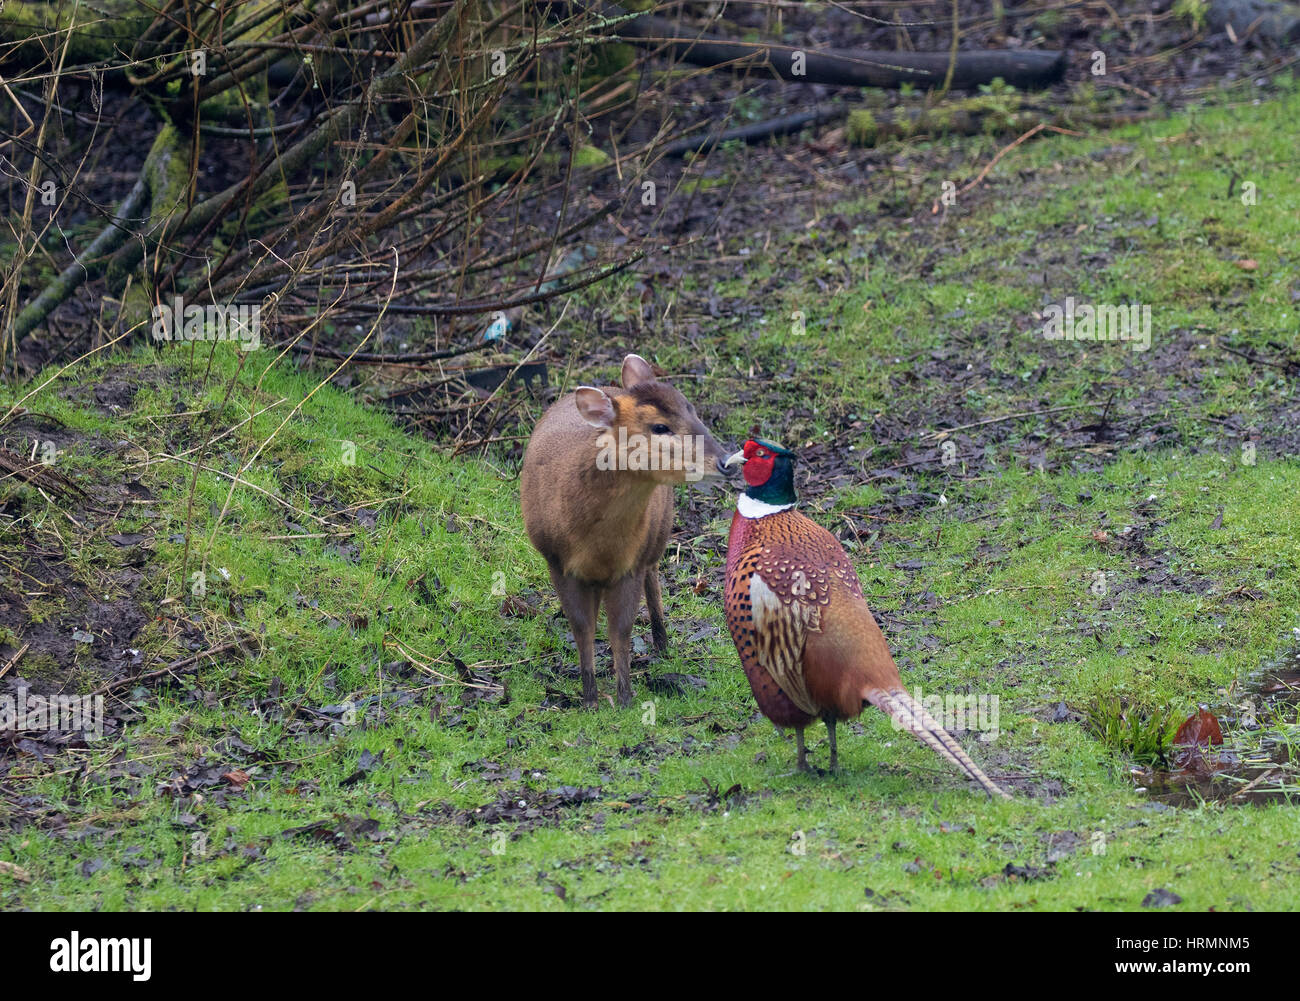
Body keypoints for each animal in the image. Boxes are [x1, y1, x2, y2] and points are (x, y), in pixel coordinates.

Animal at [520, 354, 730, 709]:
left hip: (657, 535)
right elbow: (583, 627)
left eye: (692, 409)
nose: (726, 461)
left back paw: (662, 643)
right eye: (659, 427)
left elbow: (621, 630)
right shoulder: (556, 560)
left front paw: (625, 697)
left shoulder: (630, 565)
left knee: (654, 578)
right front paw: (590, 698)